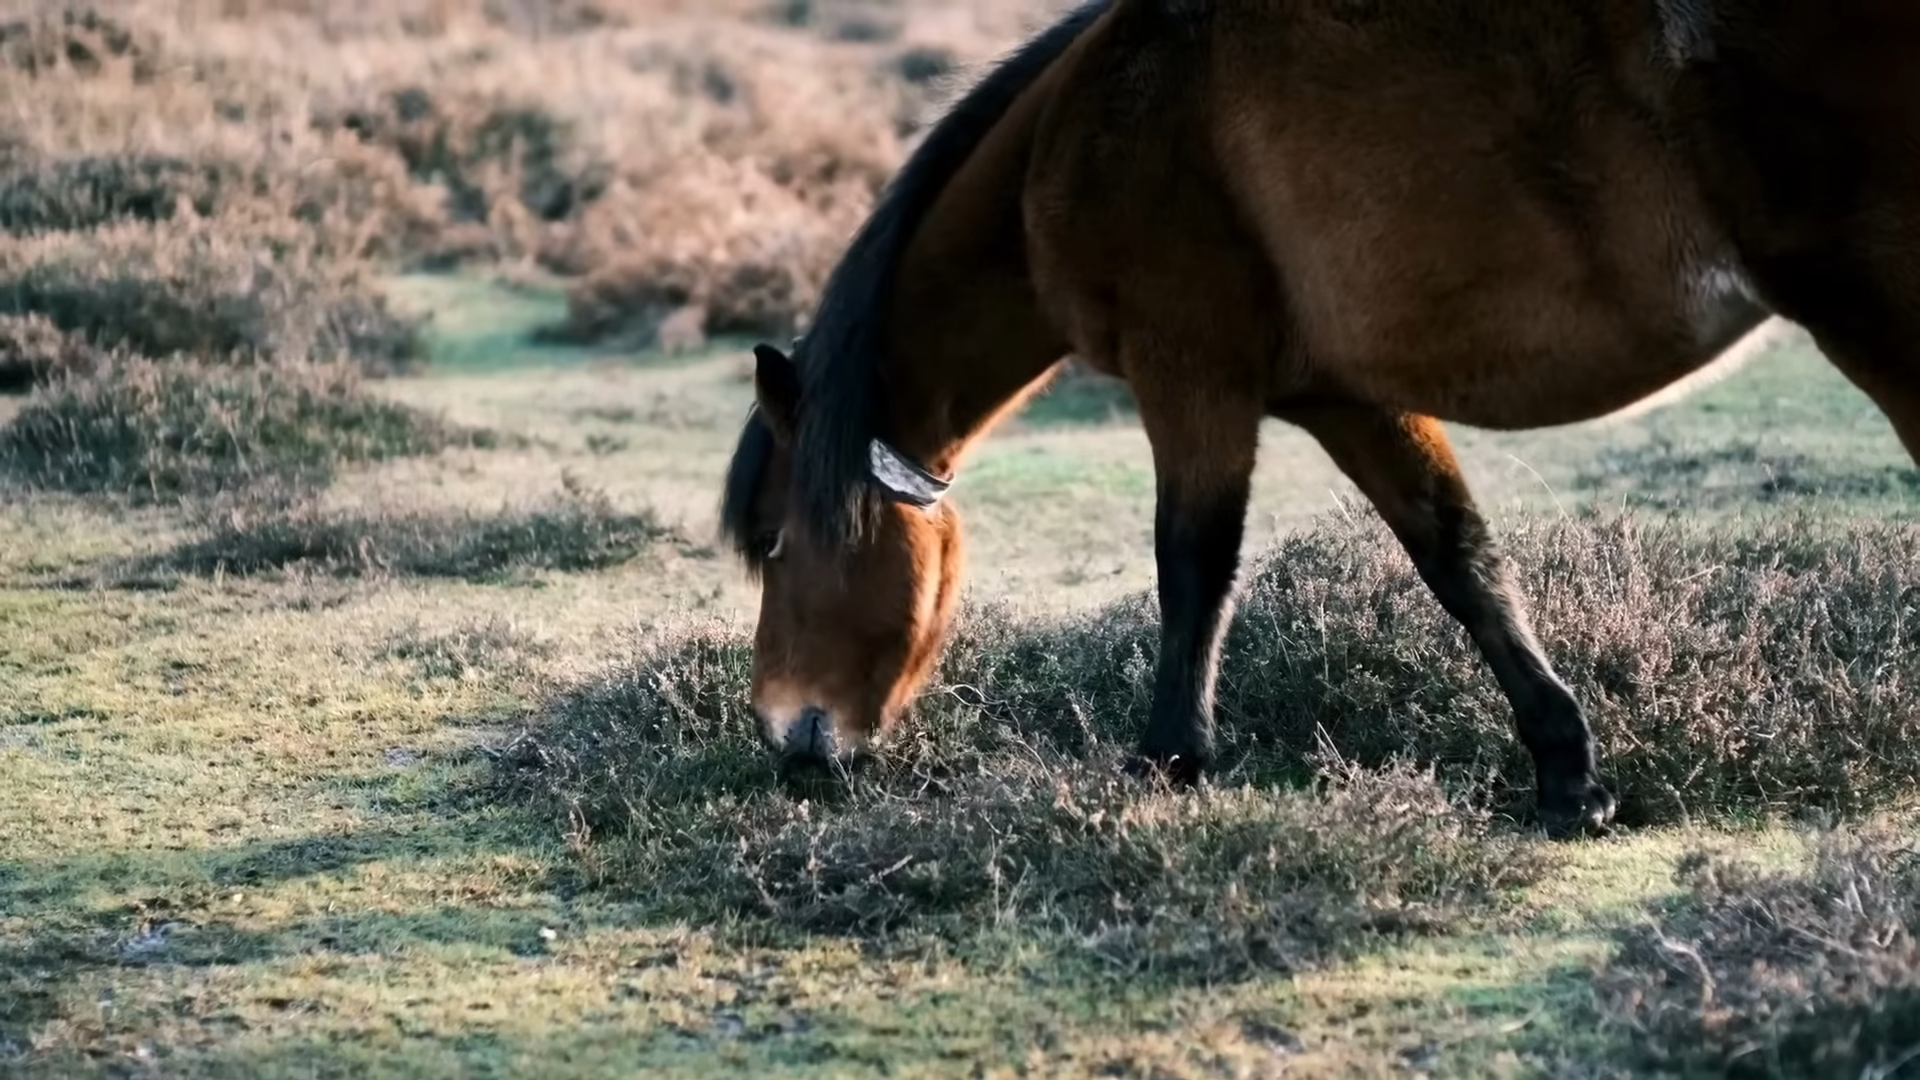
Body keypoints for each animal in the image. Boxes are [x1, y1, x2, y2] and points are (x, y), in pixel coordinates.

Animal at [719, 0, 1920, 839]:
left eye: (775, 540)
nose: (785, 737)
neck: (1091, 124)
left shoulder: (1192, 373)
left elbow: (1193, 564)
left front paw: (1167, 764)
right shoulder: (1342, 396)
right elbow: (1457, 557)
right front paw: (1566, 777)